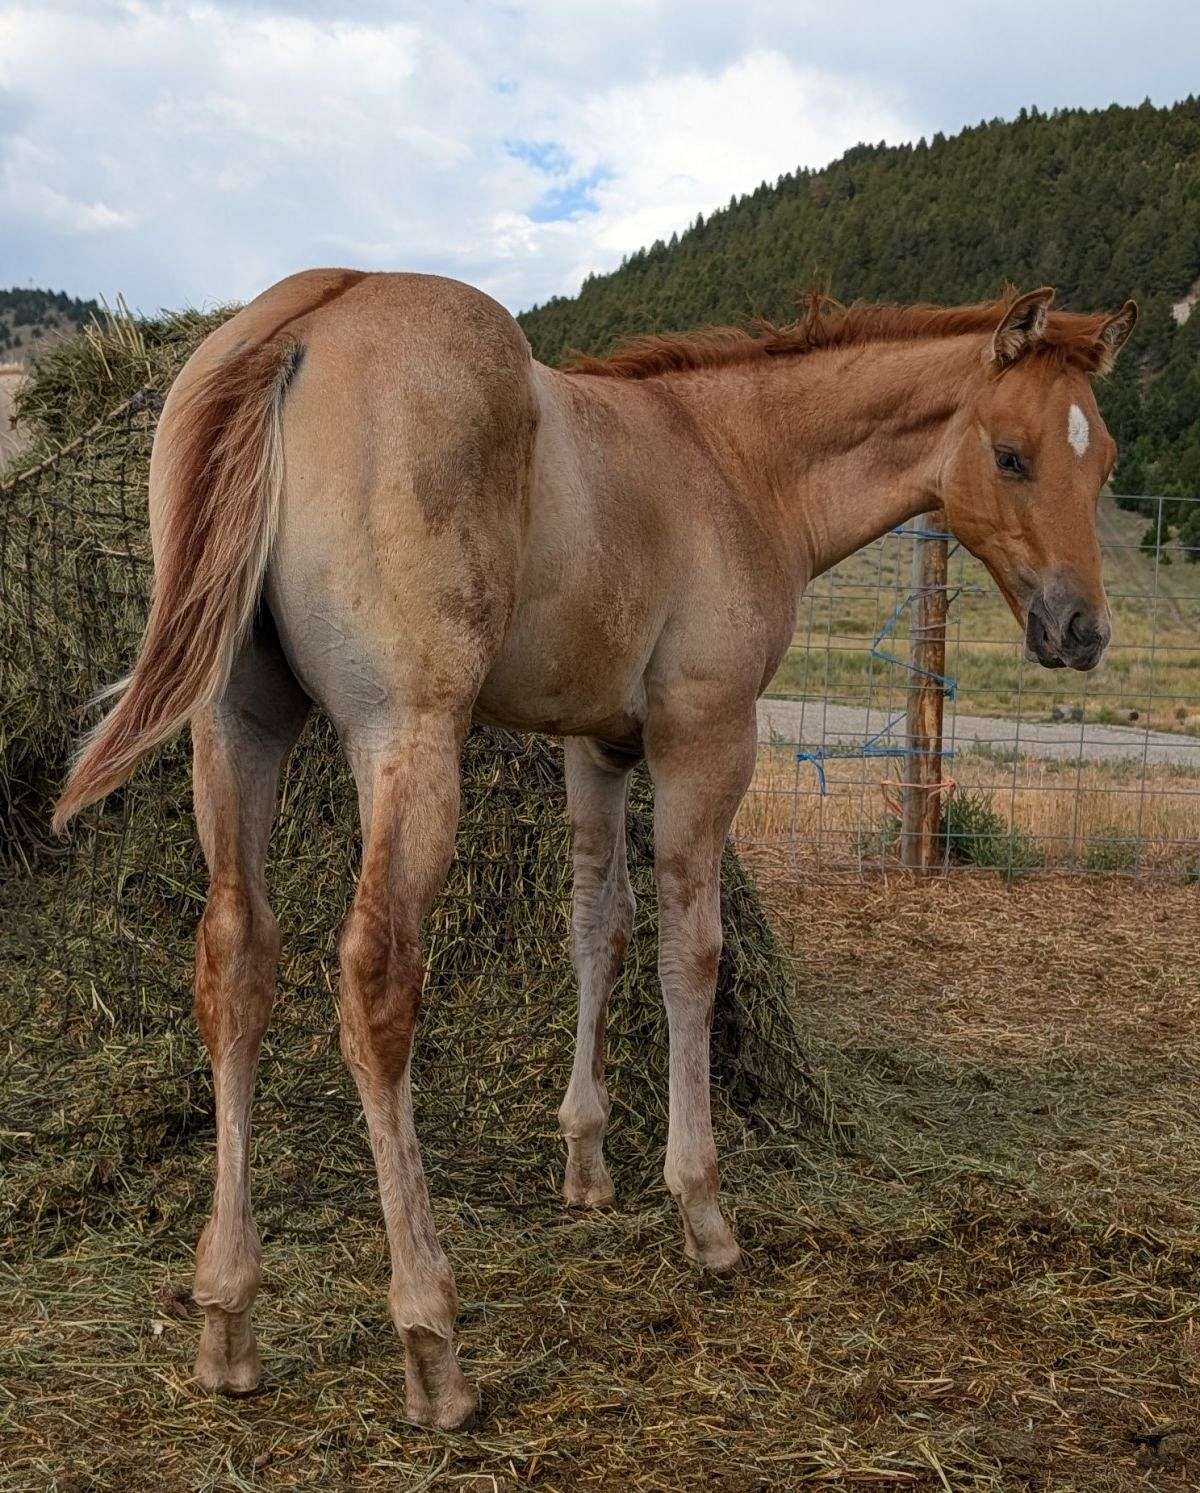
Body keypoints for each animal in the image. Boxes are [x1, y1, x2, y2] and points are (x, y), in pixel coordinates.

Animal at [53, 271, 1137, 1428]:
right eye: (1012, 454)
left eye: (1106, 459)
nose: (1081, 630)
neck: (734, 461)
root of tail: (299, 319)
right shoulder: (706, 734)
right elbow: (689, 952)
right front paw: (701, 1207)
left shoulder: (597, 745)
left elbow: (597, 929)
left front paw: (585, 1160)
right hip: (404, 733)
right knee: (375, 979)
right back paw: (431, 1335)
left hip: (236, 723)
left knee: (235, 959)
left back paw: (226, 1315)